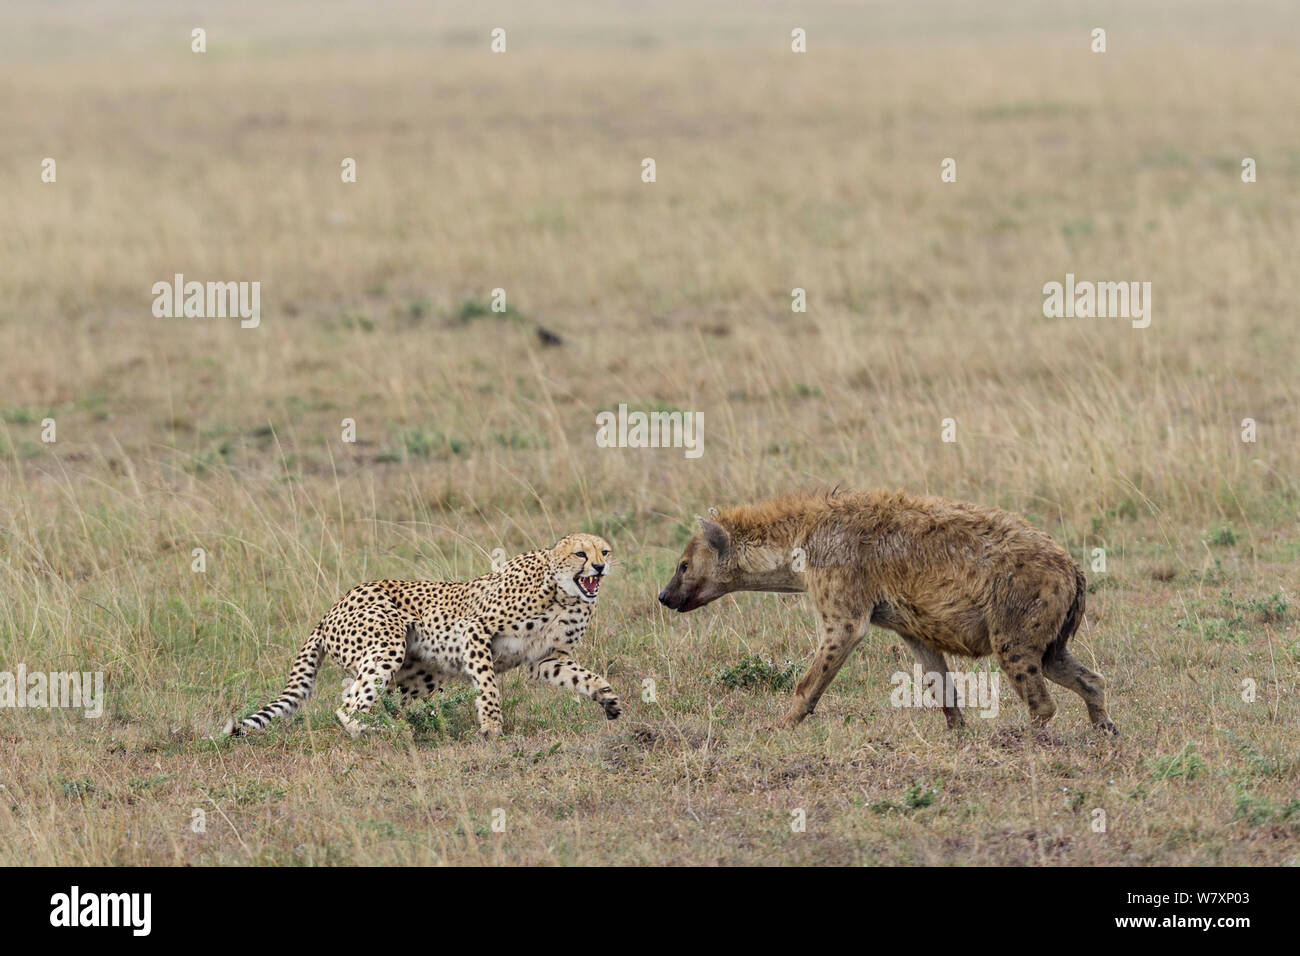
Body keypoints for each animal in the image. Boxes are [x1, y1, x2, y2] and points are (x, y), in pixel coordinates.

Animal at [223, 533, 620, 739]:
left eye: (605, 550)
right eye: (581, 553)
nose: (600, 566)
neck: (563, 594)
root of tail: (330, 609)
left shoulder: (546, 658)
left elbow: (583, 677)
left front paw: (607, 699)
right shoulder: (474, 628)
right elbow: (488, 685)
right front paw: (492, 726)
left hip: (422, 672)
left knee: (351, 692)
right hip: (386, 643)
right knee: (347, 704)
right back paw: (376, 731)